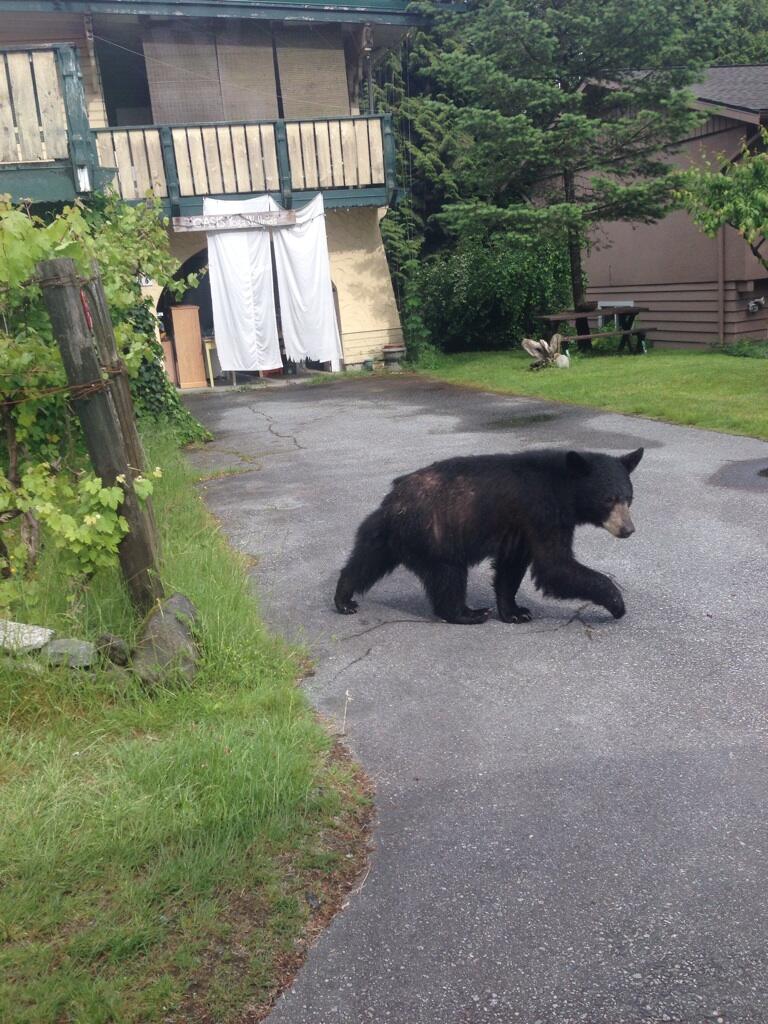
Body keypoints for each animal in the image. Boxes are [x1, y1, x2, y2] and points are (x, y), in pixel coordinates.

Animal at [333, 447, 644, 624]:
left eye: (629, 497)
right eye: (608, 499)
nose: (628, 529)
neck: (562, 487)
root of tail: (392, 503)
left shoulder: (520, 527)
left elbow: (511, 566)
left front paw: (515, 611)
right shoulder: (541, 512)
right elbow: (554, 566)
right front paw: (616, 602)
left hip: (384, 535)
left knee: (365, 561)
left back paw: (343, 599)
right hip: (435, 534)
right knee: (448, 575)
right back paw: (468, 613)